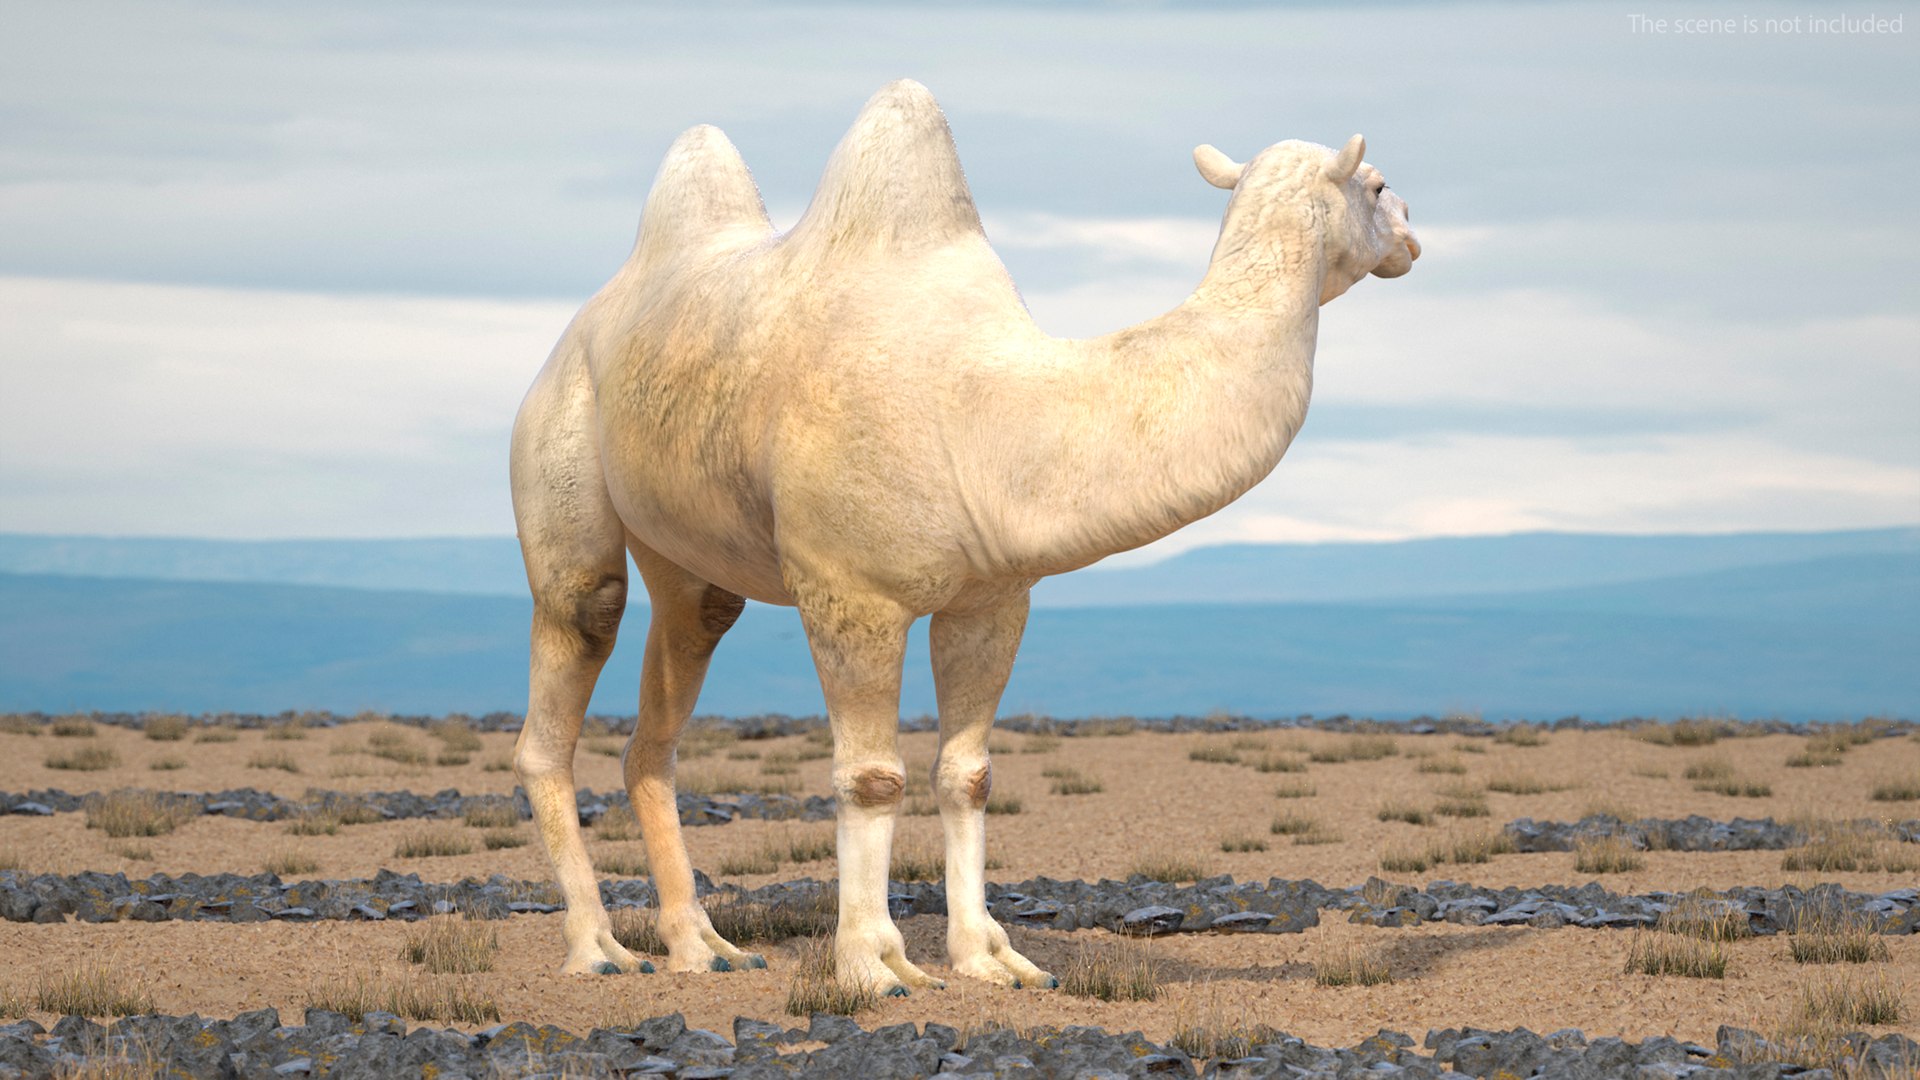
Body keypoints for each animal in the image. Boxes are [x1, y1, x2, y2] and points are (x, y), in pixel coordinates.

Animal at [508, 79, 1419, 994]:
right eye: (1376, 183)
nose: (1414, 230)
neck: (989, 412)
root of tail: (575, 330)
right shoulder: (849, 594)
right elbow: (873, 778)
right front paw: (875, 964)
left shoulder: (992, 599)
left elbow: (968, 775)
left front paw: (991, 956)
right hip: (562, 467)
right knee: (568, 664)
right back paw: (599, 947)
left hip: (688, 562)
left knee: (662, 711)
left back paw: (703, 946)